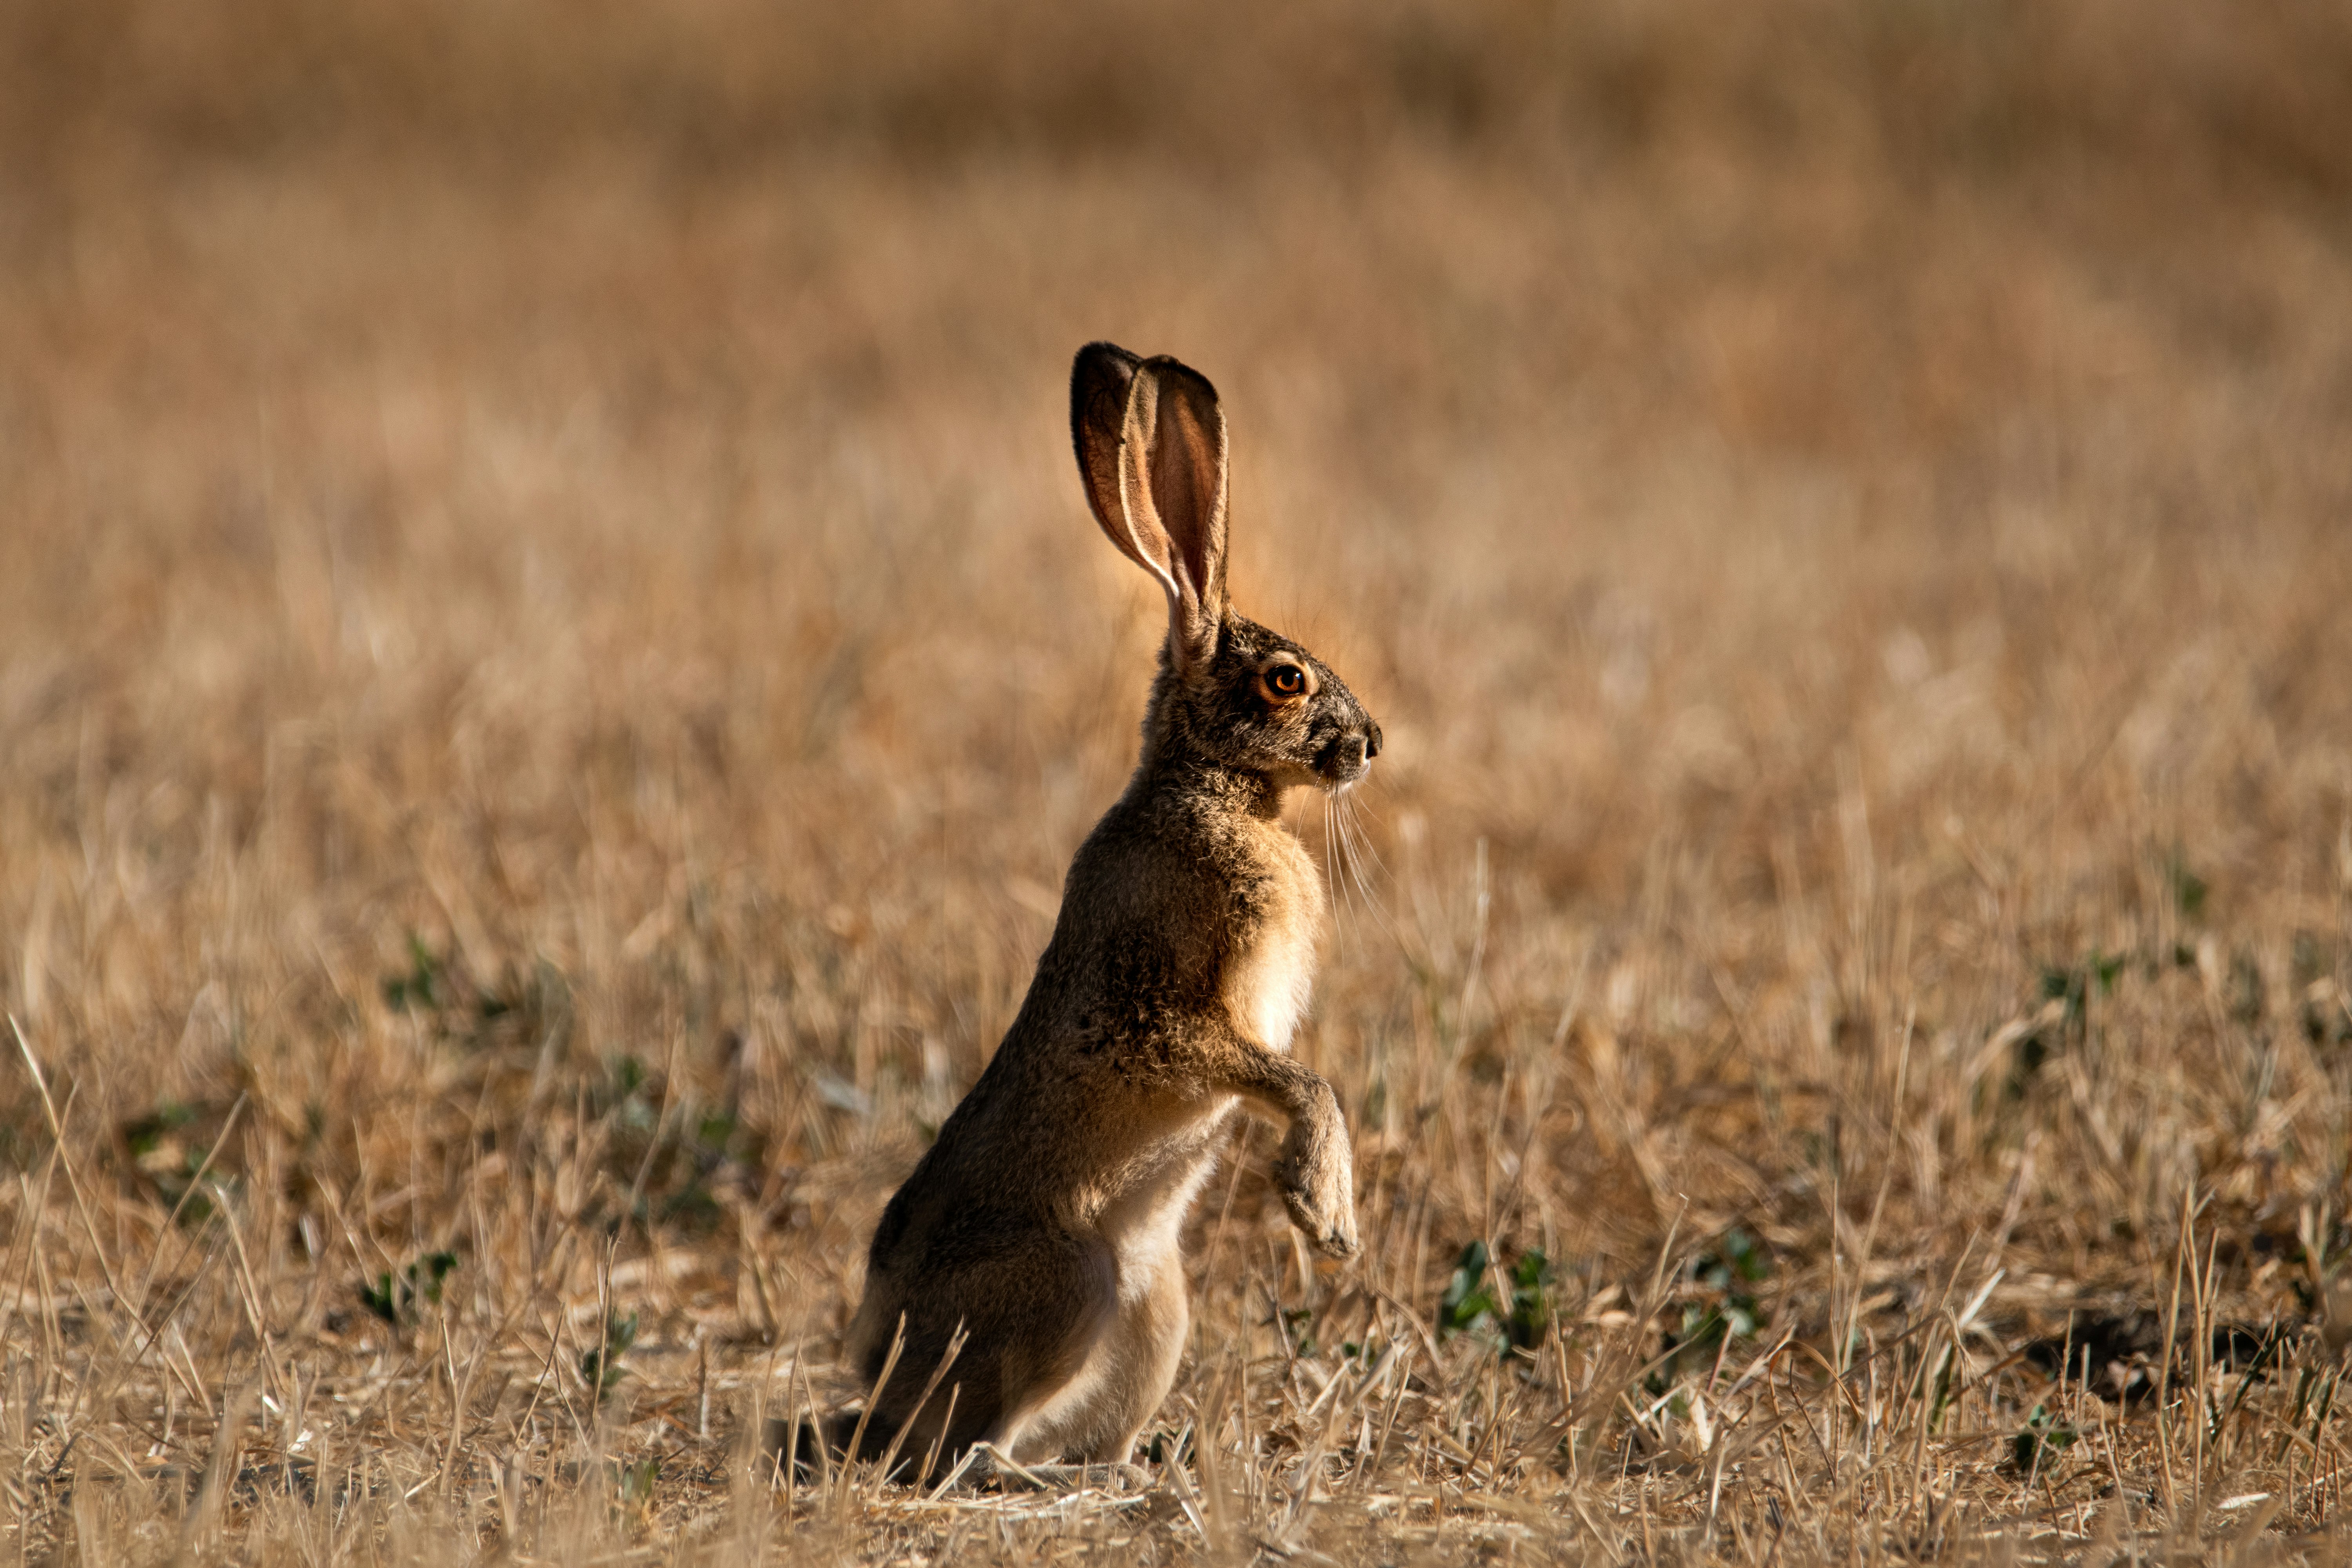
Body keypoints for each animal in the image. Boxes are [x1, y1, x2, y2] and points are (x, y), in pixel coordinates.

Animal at [804, 342, 1382, 1485]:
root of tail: (878, 1365)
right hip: (1065, 1286)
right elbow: (1301, 1082)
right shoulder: (1157, 1014)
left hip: (1158, 1304)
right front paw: (1322, 1211)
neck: (1210, 787)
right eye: (1284, 679)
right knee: (955, 1447)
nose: (1372, 742)